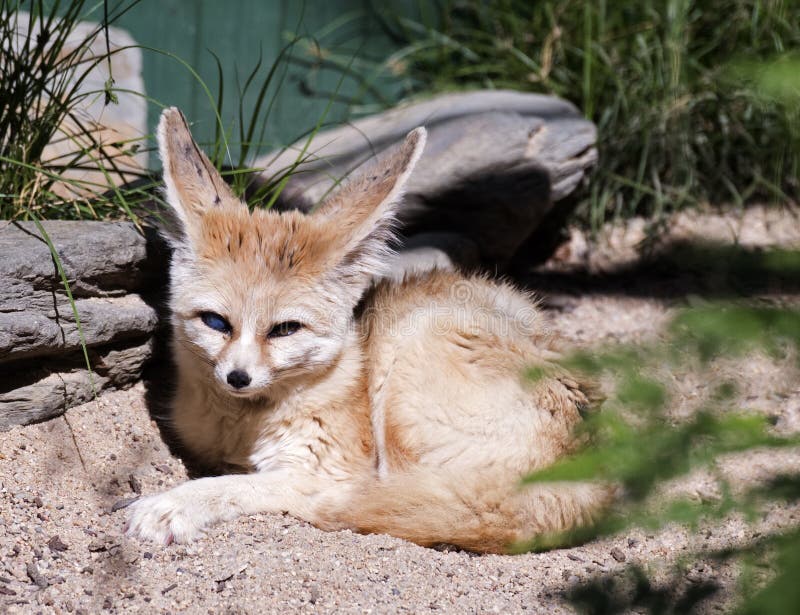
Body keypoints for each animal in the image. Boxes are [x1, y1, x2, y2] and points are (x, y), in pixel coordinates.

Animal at [125, 107, 609, 554]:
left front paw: (177, 503)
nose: (237, 378)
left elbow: (238, 485)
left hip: (412, 346)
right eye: (216, 322)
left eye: (285, 329)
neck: (243, 425)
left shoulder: (328, 468)